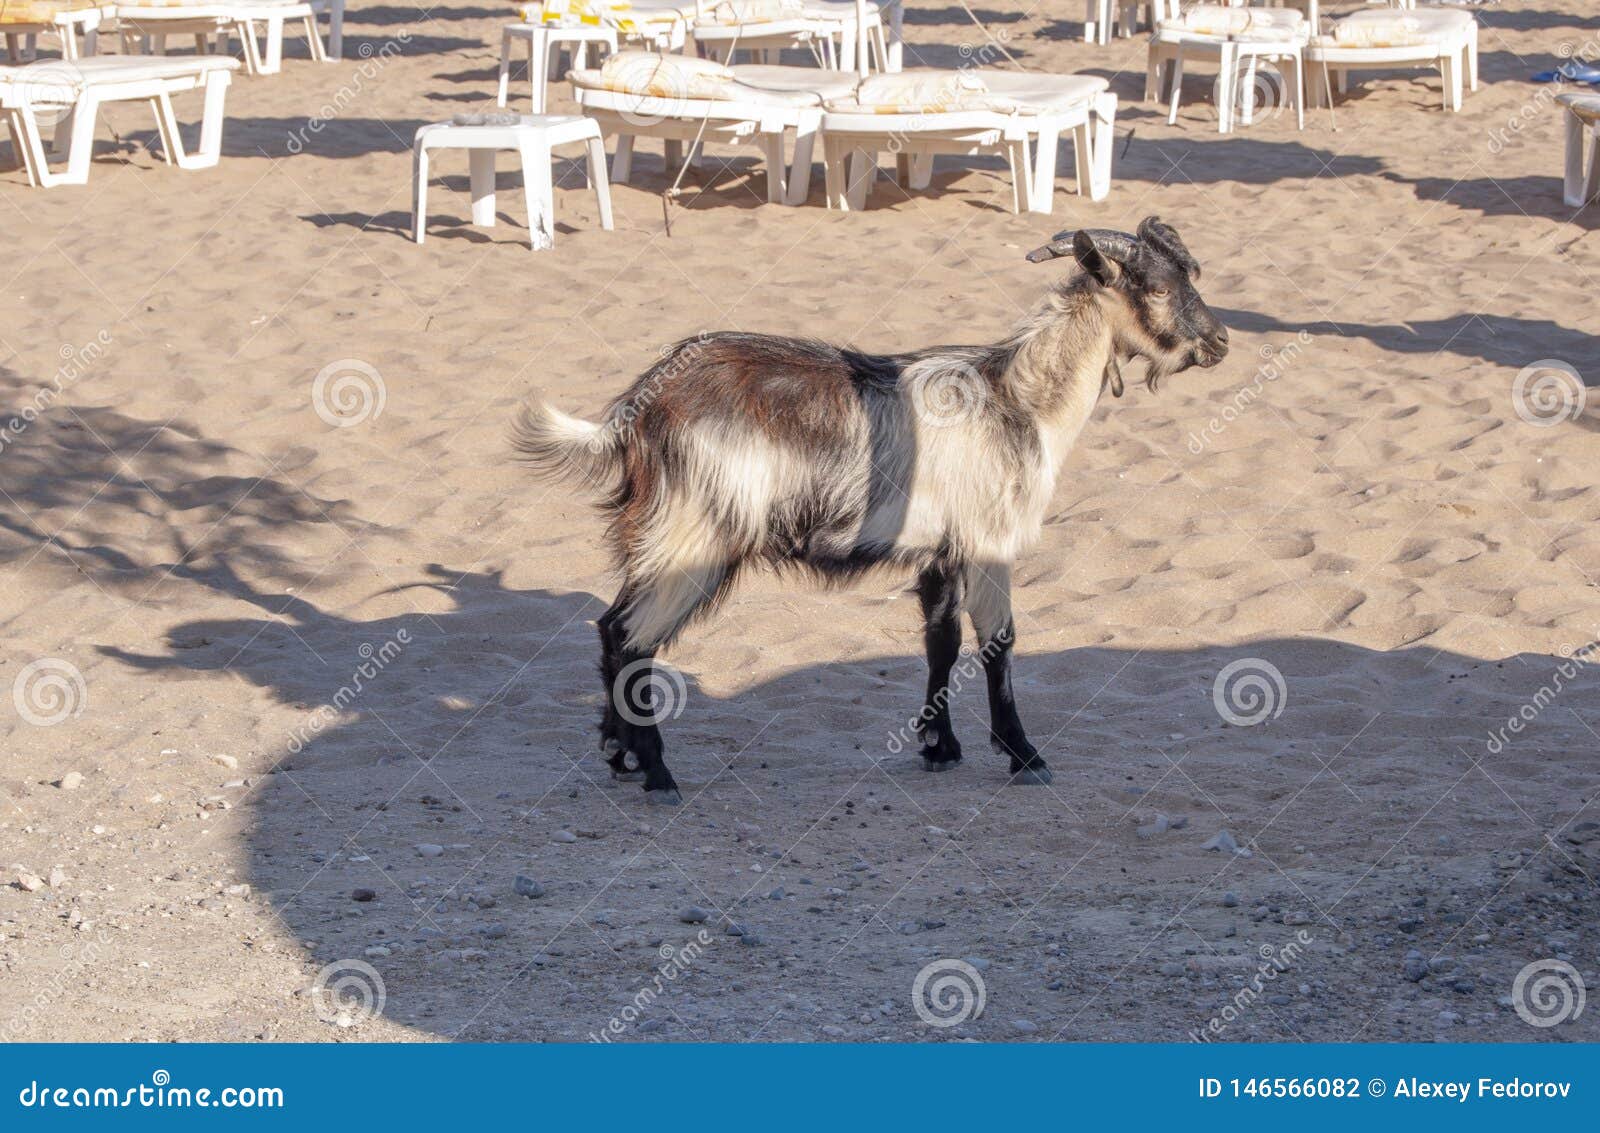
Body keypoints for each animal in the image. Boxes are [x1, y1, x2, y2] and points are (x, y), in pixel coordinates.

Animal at [514, 216, 1229, 804]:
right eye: (1155, 288)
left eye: (1190, 273)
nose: (1220, 341)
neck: (1020, 400)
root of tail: (638, 409)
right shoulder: (988, 540)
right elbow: (998, 641)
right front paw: (1025, 754)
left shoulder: (942, 552)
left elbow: (940, 641)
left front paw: (940, 747)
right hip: (696, 535)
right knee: (633, 638)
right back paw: (658, 771)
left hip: (661, 536)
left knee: (611, 627)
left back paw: (620, 755)